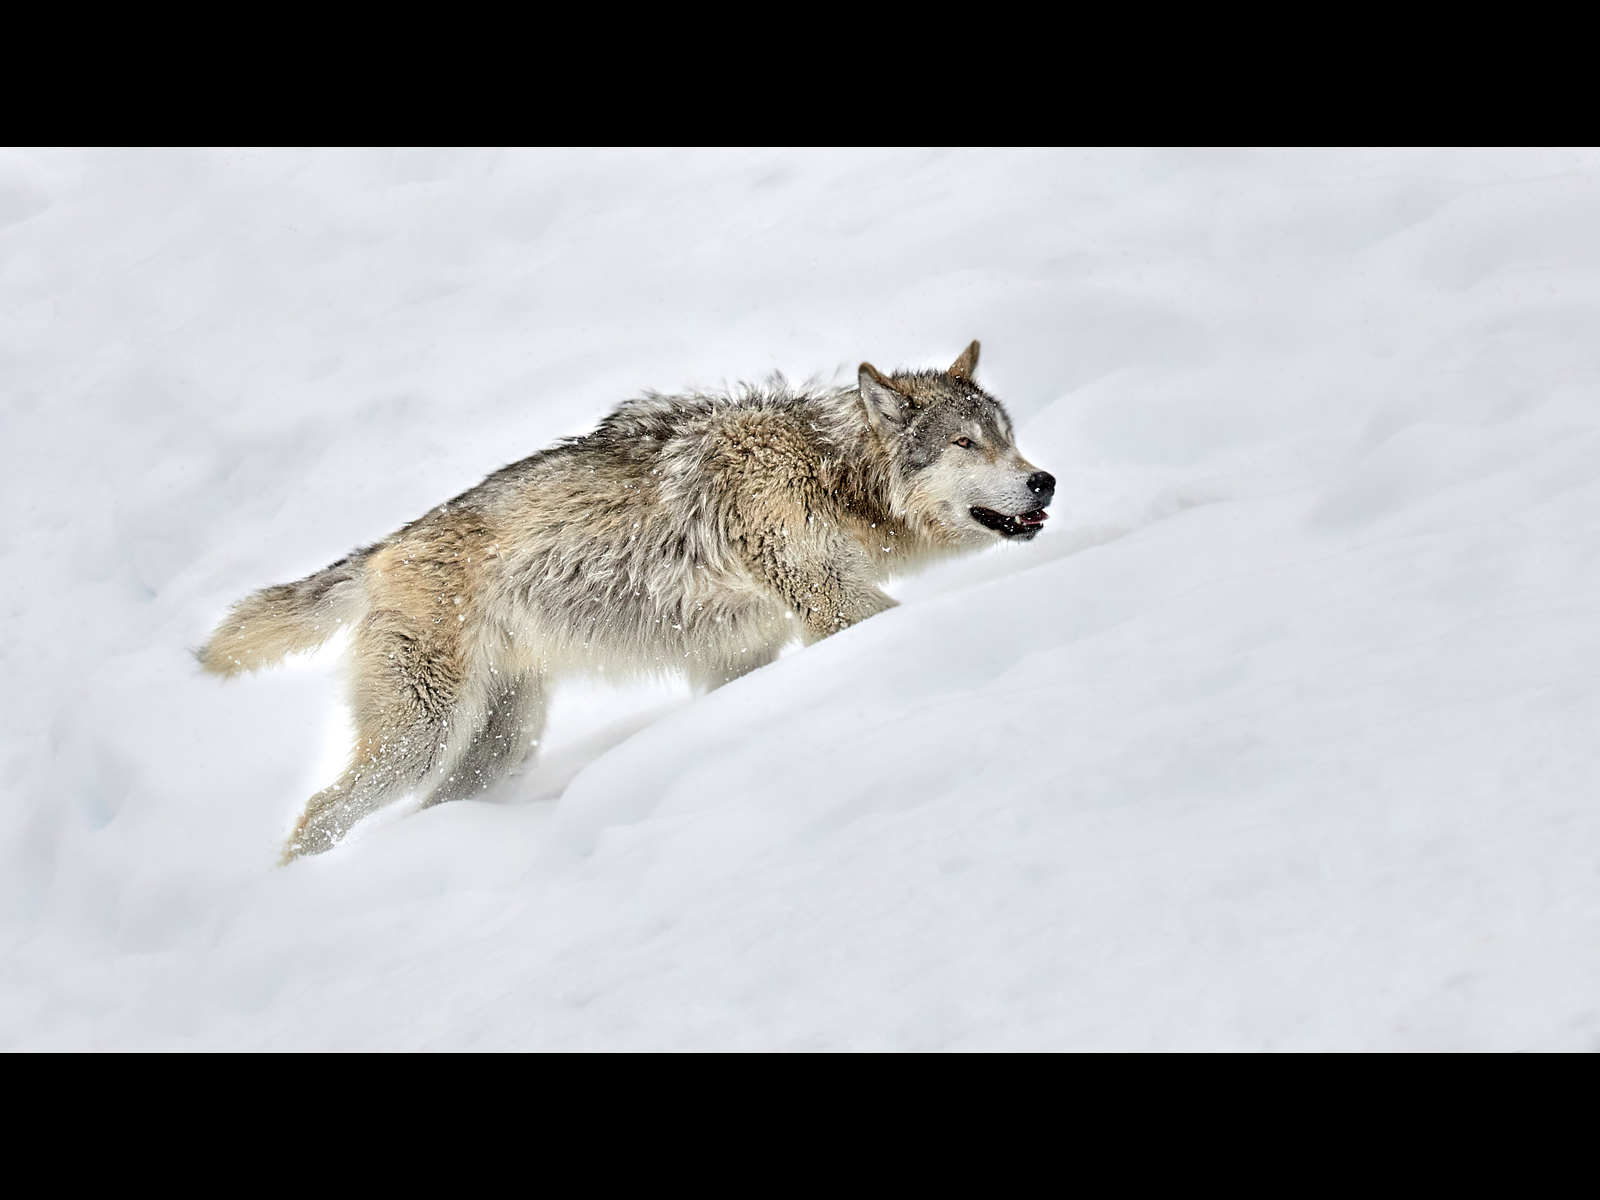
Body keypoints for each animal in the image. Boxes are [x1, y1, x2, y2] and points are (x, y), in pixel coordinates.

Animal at [199, 341, 1054, 860]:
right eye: (965, 445)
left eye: (1008, 437)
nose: (1045, 480)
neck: (826, 470)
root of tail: (379, 553)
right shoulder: (832, 606)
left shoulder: (741, 656)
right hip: (418, 739)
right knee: (315, 817)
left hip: (496, 747)